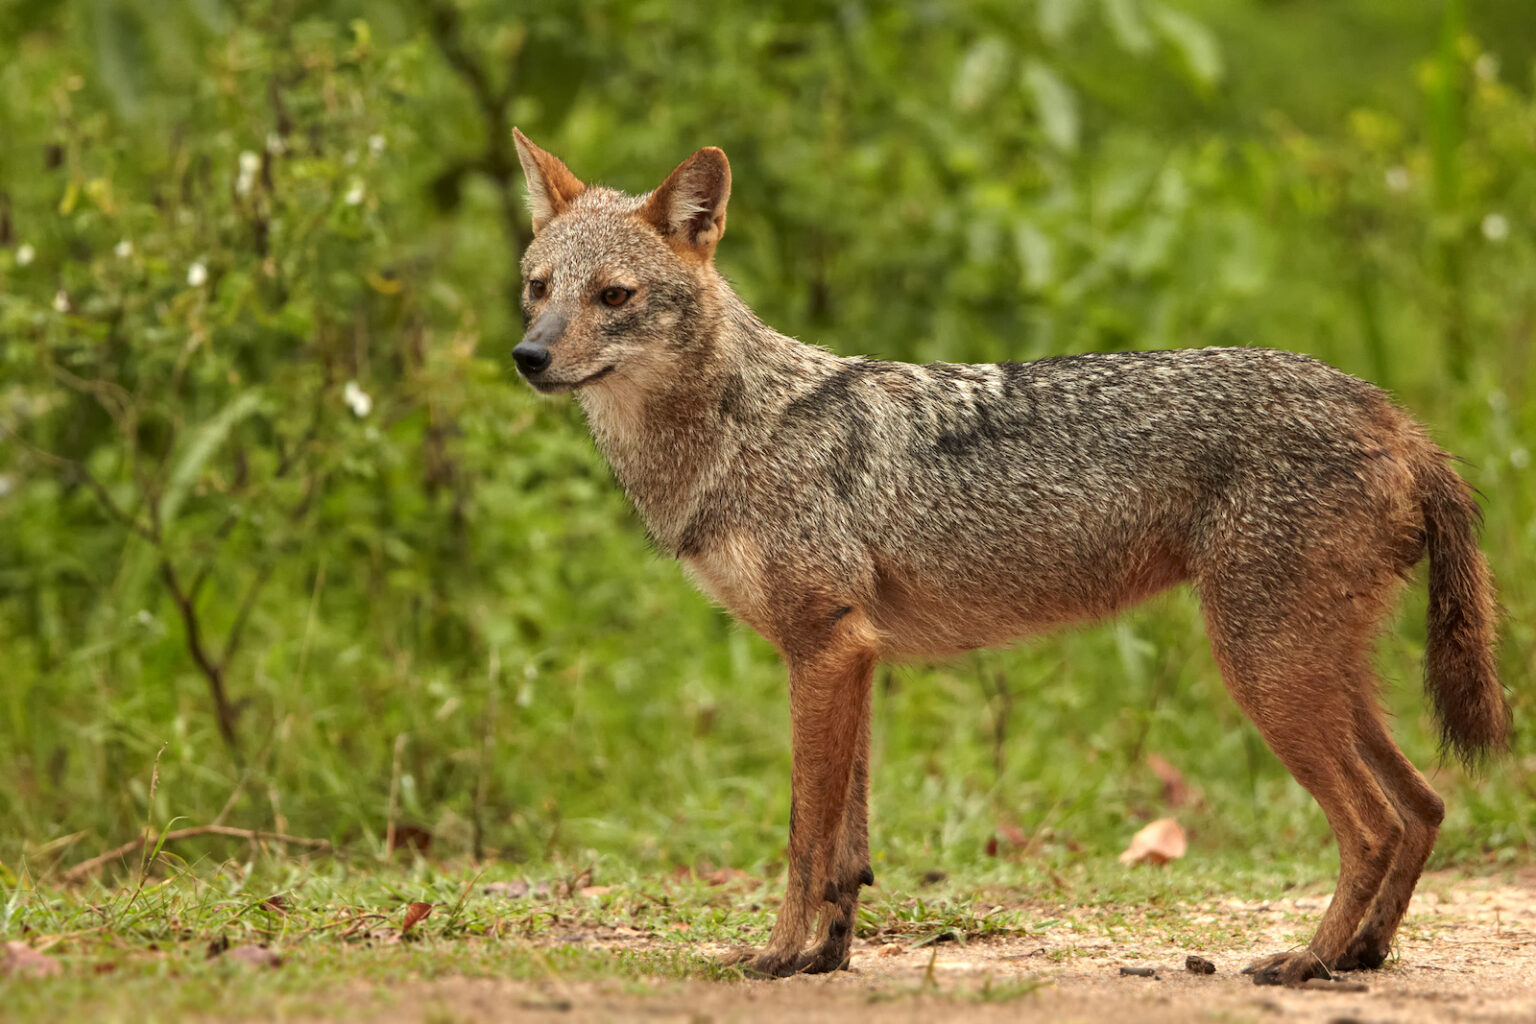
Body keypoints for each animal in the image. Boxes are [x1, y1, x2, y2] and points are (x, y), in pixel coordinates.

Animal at [508, 129, 1507, 986]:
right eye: (538, 287)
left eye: (614, 296)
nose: (526, 358)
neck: (737, 433)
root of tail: (1395, 417)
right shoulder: (853, 657)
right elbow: (846, 848)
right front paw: (826, 954)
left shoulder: (823, 650)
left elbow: (802, 835)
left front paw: (779, 954)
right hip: (1316, 674)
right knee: (1424, 805)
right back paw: (1362, 954)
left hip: (1266, 673)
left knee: (1374, 824)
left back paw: (1310, 961)